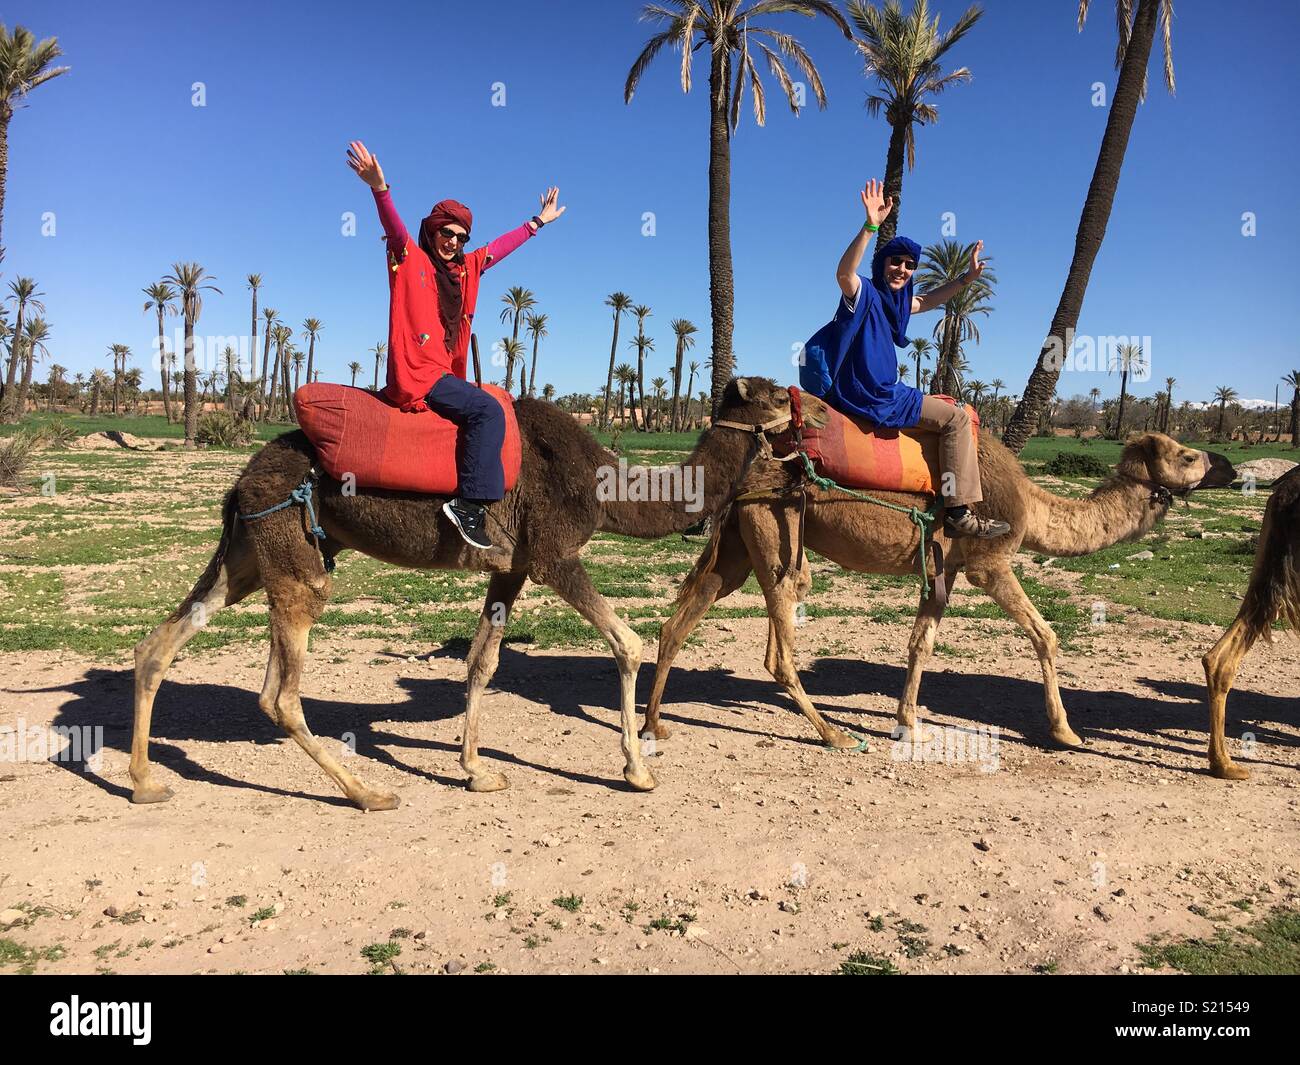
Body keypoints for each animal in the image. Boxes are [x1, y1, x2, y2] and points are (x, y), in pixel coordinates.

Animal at [130, 378, 806, 811]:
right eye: (778, 395)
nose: (813, 417)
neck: (607, 486)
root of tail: (242, 478)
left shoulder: (512, 567)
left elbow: (482, 662)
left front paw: (477, 771)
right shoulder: (554, 555)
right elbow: (628, 644)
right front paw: (637, 770)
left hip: (250, 553)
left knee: (160, 642)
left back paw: (143, 781)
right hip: (295, 562)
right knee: (280, 694)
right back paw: (368, 793)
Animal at [642, 387, 1236, 753]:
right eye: (1187, 456)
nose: (1227, 466)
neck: (1030, 503)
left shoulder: (944, 567)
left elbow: (920, 643)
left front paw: (910, 726)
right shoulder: (988, 562)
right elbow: (1044, 635)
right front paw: (1066, 731)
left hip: (740, 542)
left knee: (683, 618)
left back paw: (654, 725)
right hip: (774, 528)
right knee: (779, 644)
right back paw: (833, 735)